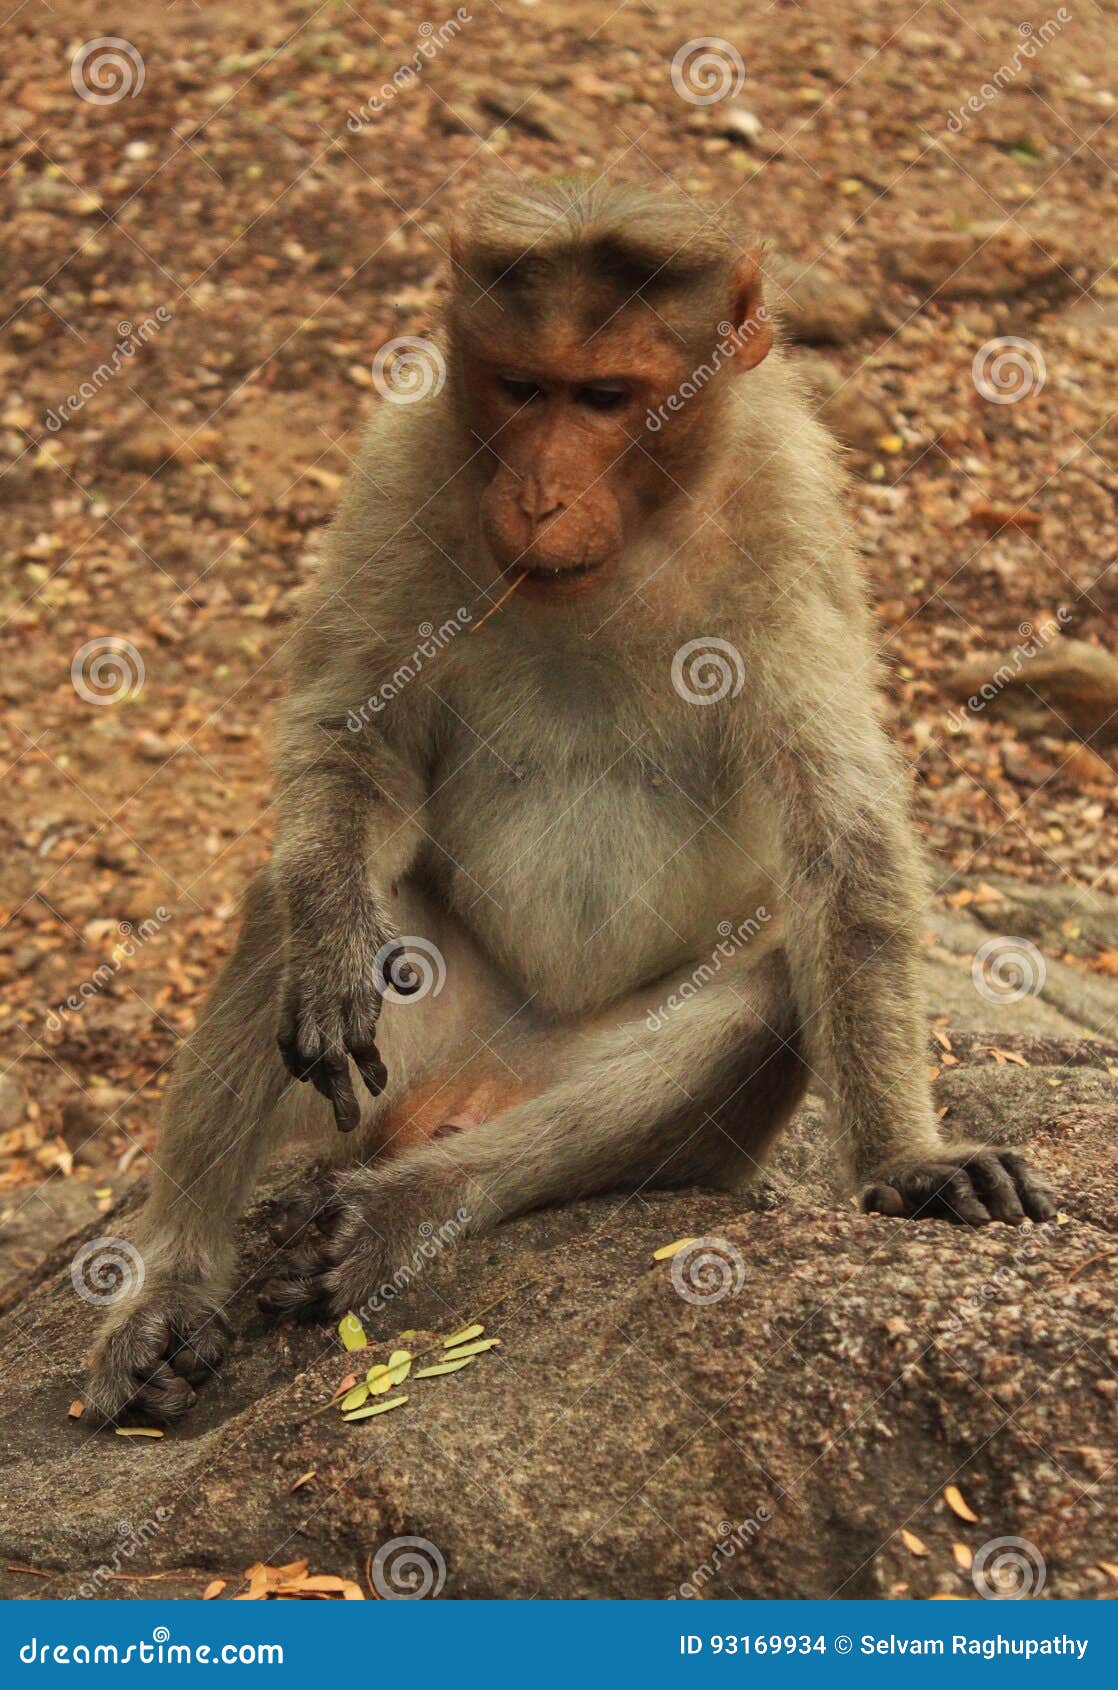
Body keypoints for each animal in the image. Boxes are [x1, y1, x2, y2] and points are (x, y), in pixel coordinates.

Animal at [86, 177, 1055, 1423]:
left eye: (604, 398)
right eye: (519, 387)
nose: (540, 494)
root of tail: (471, 1083)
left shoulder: (788, 498)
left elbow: (838, 837)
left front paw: (906, 1161)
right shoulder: (403, 458)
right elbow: (348, 739)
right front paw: (326, 930)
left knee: (763, 991)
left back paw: (416, 1204)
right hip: (409, 1041)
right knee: (284, 913)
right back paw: (173, 1288)